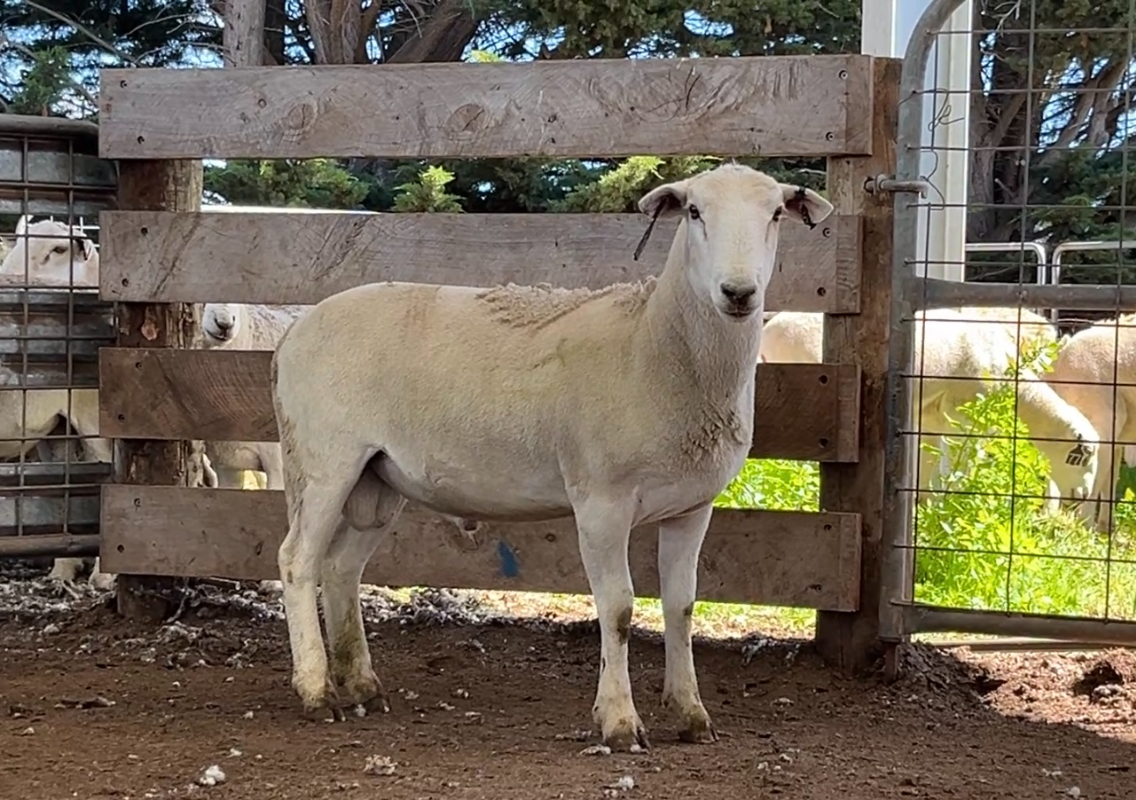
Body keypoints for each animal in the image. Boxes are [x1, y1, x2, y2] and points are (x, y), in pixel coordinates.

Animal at [269, 163, 834, 748]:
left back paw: (362, 685)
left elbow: (681, 607)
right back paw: (317, 692)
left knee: (341, 566)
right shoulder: (601, 501)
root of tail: (293, 333)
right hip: (324, 457)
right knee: (298, 560)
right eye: (695, 212)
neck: (652, 344)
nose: (739, 292)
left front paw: (691, 714)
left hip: (378, 477)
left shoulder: (691, 507)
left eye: (775, 214)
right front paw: (619, 722)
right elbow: (618, 608)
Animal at [758, 308, 1096, 505]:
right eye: (1079, 456)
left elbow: (929, 466)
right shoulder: (964, 417)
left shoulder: (930, 419)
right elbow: (959, 468)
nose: (1081, 497)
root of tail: (768, 330)